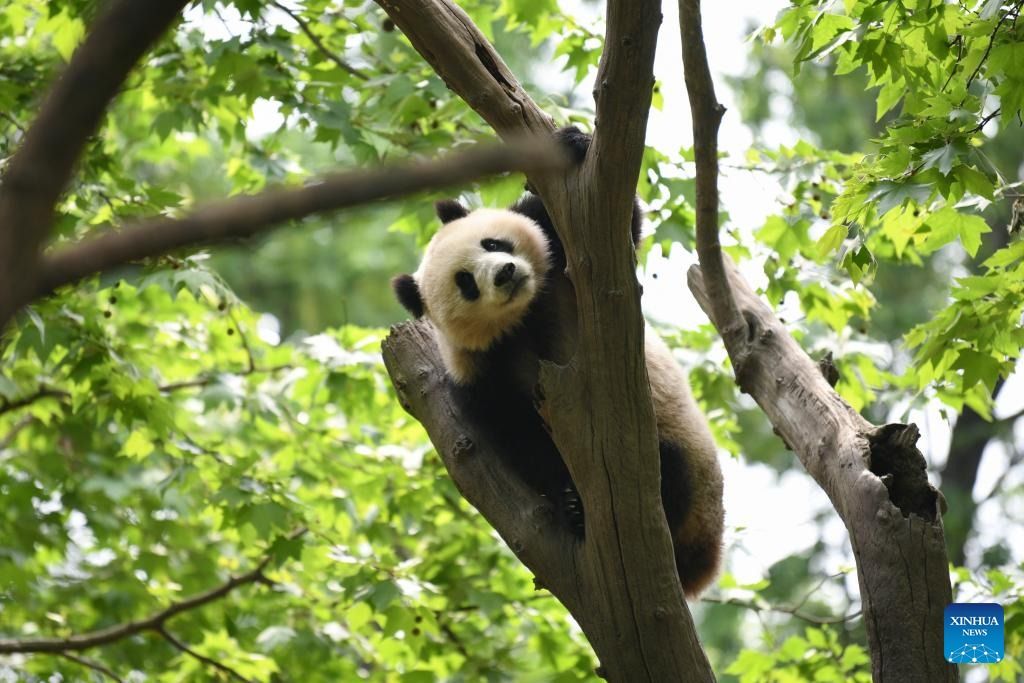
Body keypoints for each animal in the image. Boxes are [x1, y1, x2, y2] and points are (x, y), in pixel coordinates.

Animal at [392, 128, 724, 598]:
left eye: (492, 243)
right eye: (466, 283)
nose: (505, 273)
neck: (528, 312)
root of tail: (704, 564)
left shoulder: (564, 259)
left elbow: (618, 231)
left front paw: (573, 142)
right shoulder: (481, 373)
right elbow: (520, 437)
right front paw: (566, 499)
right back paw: (580, 513)